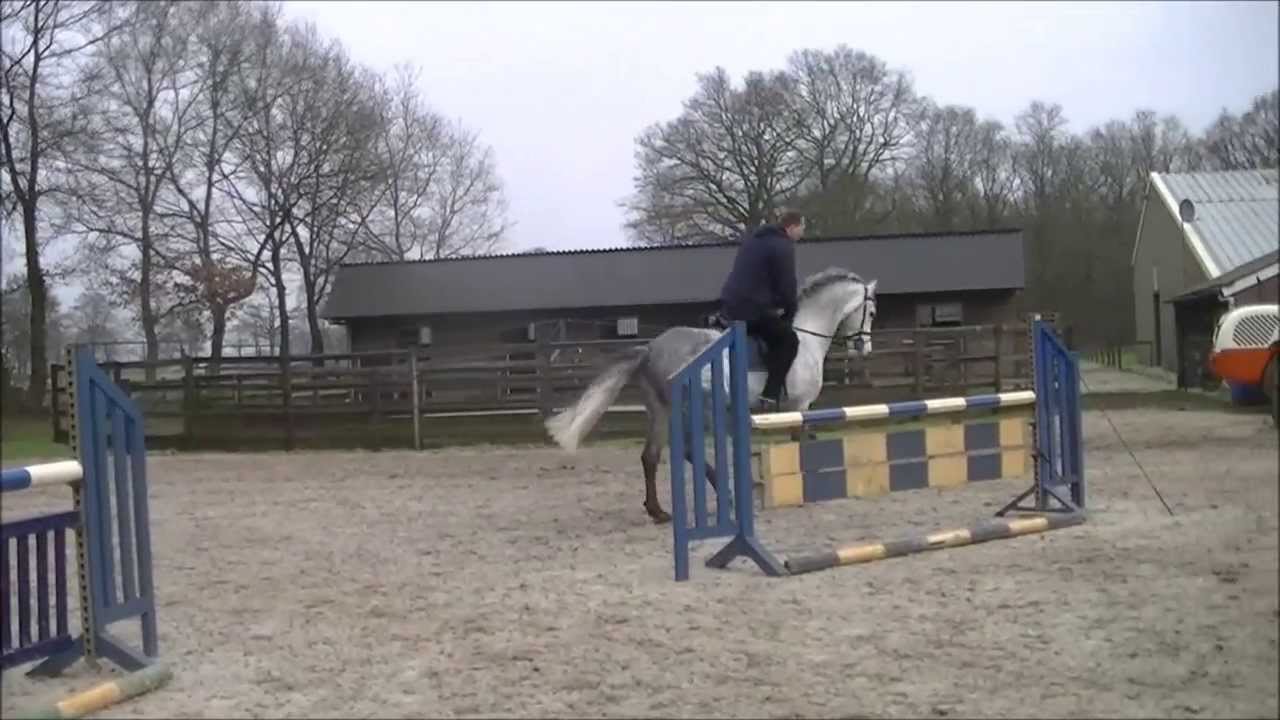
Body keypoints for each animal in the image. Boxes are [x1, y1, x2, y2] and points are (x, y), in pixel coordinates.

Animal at [544, 267, 878, 523]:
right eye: (871, 312)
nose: (864, 348)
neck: (807, 335)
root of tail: (651, 348)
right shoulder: (800, 404)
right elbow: (801, 442)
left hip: (661, 410)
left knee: (650, 456)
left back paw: (658, 511)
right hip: (693, 409)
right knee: (688, 452)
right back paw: (725, 495)